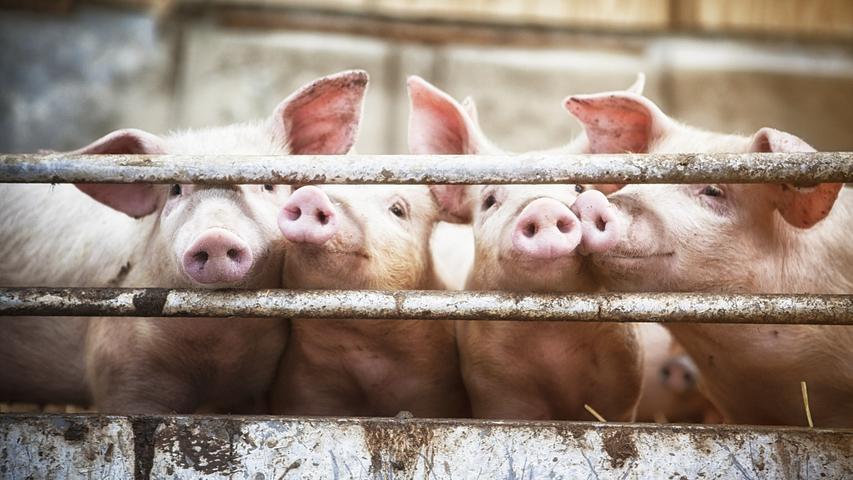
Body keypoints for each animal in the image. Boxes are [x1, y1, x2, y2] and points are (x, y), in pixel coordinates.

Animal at [407, 76, 643, 421]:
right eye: (490, 200)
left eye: (578, 187)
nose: (543, 207)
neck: (551, 338)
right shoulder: (495, 386)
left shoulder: (624, 382)